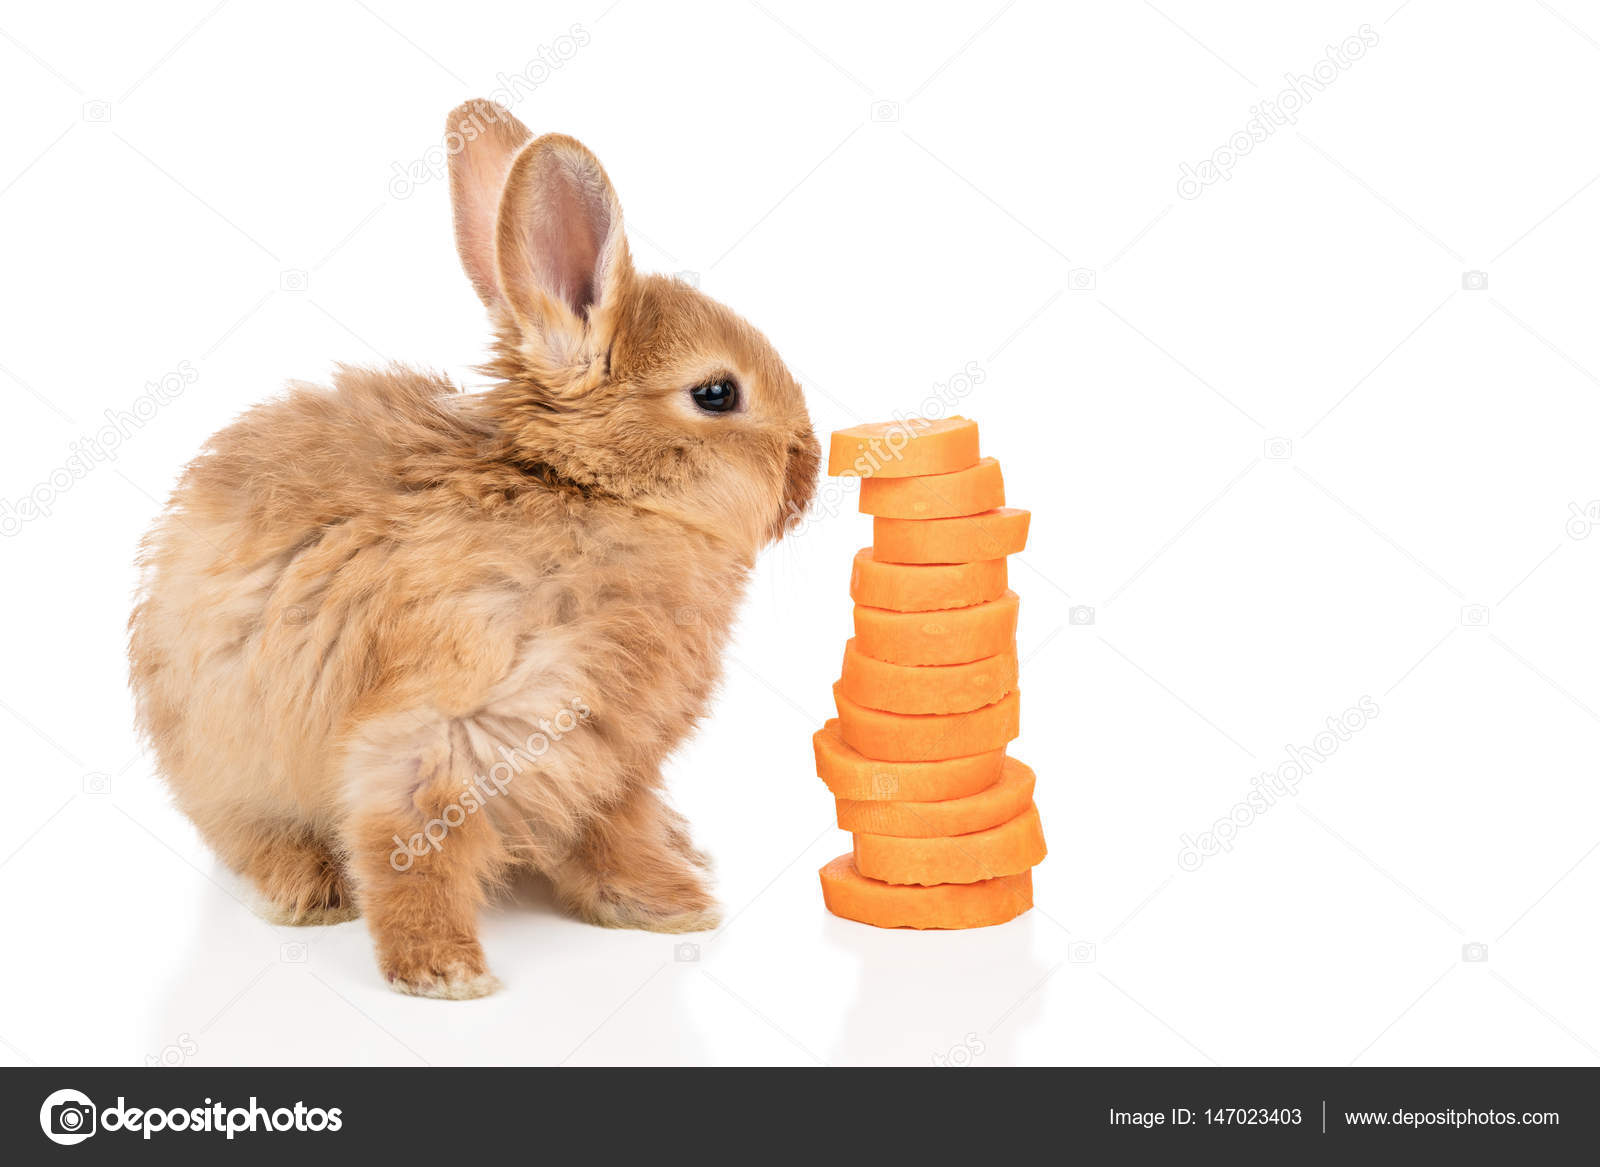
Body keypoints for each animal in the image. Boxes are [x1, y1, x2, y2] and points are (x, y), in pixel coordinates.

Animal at [127, 99, 820, 999]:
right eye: (716, 393)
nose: (811, 463)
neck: (587, 492)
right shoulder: (437, 727)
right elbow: (410, 844)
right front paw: (443, 971)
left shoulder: (612, 760)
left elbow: (613, 833)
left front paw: (667, 906)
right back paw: (306, 890)